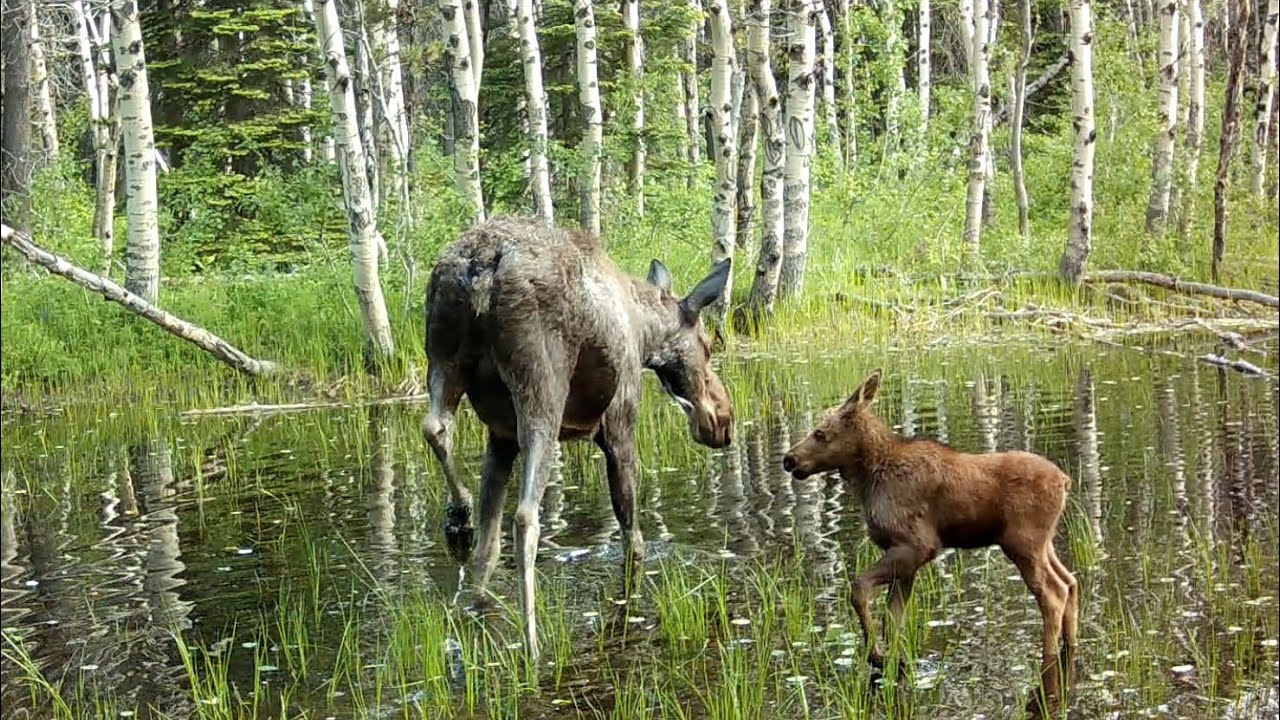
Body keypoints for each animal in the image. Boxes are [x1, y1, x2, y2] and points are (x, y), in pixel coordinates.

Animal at [421, 217, 735, 660]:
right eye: (706, 347)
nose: (724, 422)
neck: (644, 332)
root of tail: (482, 265)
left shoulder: (500, 436)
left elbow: (488, 547)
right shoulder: (619, 426)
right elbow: (632, 536)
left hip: (444, 358)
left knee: (436, 429)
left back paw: (460, 516)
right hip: (541, 392)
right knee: (525, 517)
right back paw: (533, 643)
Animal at [782, 369, 1078, 716]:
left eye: (820, 433)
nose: (789, 459)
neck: (868, 480)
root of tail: (1065, 481)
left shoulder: (917, 546)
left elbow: (859, 588)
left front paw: (876, 656)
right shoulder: (905, 560)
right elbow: (893, 620)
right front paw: (895, 661)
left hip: (1023, 544)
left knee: (1053, 595)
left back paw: (1049, 660)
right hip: (1044, 543)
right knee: (1070, 581)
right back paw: (1070, 643)